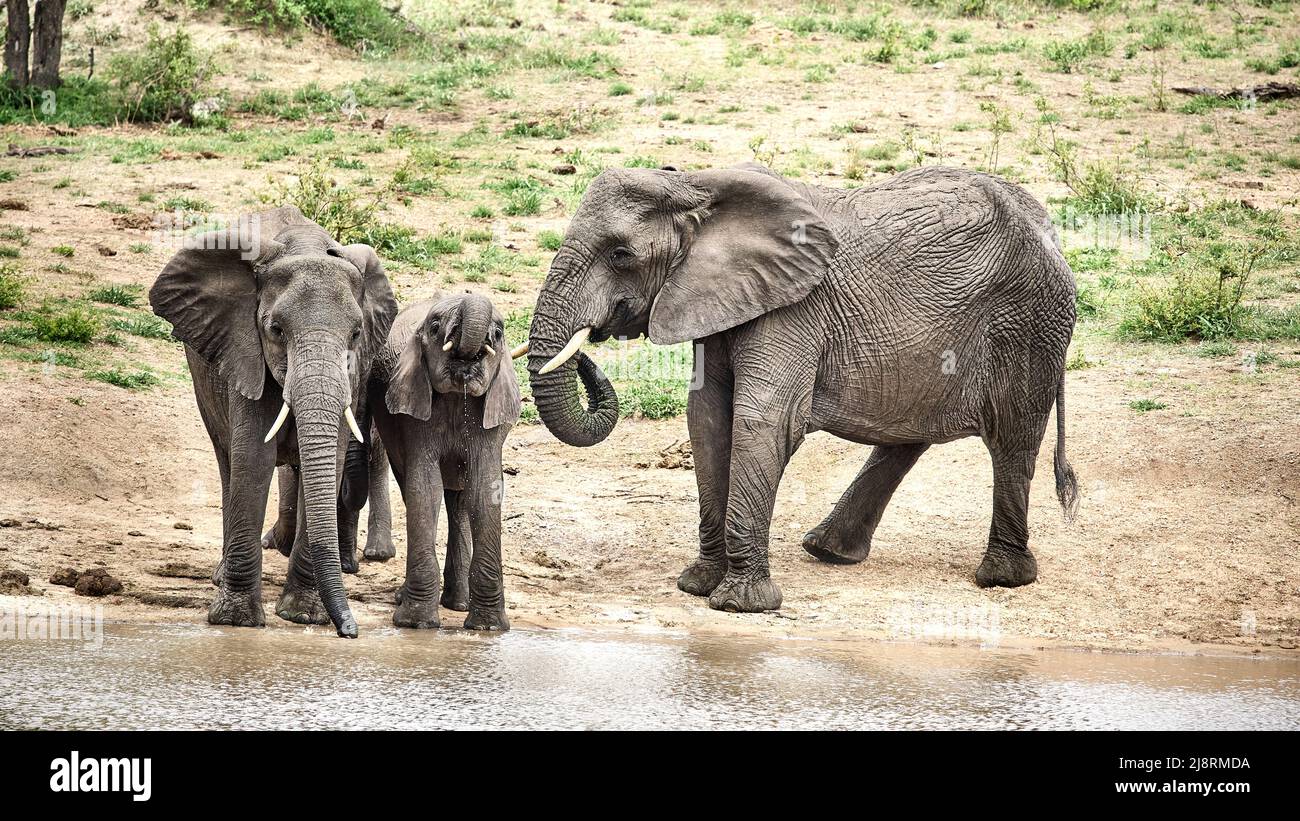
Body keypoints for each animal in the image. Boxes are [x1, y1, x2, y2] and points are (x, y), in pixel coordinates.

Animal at [150, 205, 397, 638]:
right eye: (276, 330)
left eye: (356, 334)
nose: (349, 631)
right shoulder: (245, 350)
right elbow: (253, 459)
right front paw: (235, 621)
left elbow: (330, 460)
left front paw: (303, 616)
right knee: (227, 461)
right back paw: (220, 576)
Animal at [367, 292, 521, 630]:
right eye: (435, 328)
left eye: (498, 334)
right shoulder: (415, 413)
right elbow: (425, 490)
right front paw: (416, 624)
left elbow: (484, 490)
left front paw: (487, 627)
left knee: (460, 500)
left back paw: (460, 603)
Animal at [518, 163, 1079, 613]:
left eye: (620, 254)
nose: (587, 343)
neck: (695, 185)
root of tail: (1047, 228)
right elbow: (707, 420)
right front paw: (697, 585)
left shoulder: (795, 308)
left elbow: (762, 421)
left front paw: (739, 605)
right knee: (910, 433)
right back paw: (828, 550)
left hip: (1029, 324)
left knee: (1013, 440)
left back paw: (1001, 578)